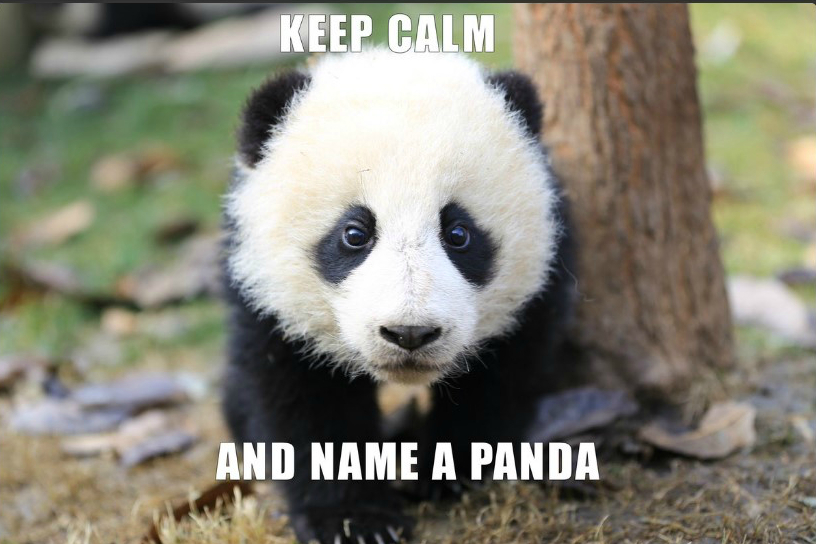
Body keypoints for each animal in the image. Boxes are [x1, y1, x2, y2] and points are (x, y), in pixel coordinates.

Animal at [222, 50, 575, 544]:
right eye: (354, 233)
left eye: (458, 232)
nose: (410, 333)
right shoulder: (268, 299)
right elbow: (299, 398)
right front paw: (356, 521)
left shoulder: (536, 285)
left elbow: (502, 378)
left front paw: (439, 475)